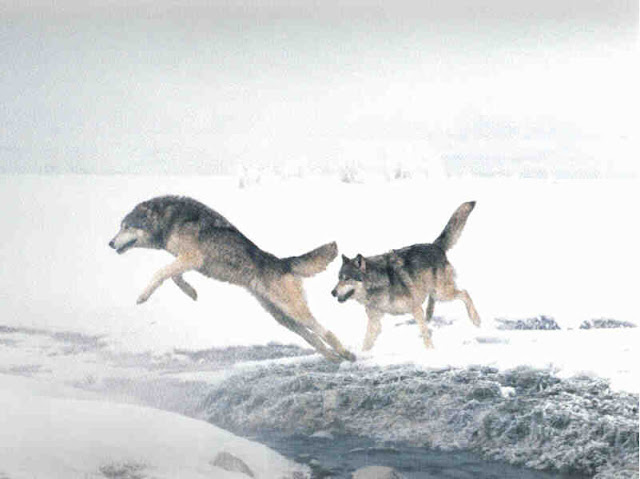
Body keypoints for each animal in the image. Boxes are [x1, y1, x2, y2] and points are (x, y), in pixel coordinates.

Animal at [109, 195, 355, 362]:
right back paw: (335, 358)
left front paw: (143, 296)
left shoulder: (192, 258)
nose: (110, 243)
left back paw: (346, 354)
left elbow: (160, 273)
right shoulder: (185, 260)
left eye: (127, 227)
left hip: (292, 310)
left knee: (324, 330)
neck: (170, 219)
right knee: (312, 338)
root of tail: (282, 262)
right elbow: (174, 276)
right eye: (120, 227)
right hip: (282, 318)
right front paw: (191, 292)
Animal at [331, 201, 480, 351]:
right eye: (339, 278)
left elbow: (424, 333)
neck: (379, 283)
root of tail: (435, 246)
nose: (332, 292)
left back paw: (476, 320)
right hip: (435, 292)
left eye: (347, 278)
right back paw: (430, 317)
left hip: (442, 293)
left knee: (464, 293)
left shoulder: (415, 308)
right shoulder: (375, 321)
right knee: (434, 301)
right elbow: (366, 343)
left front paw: (430, 350)